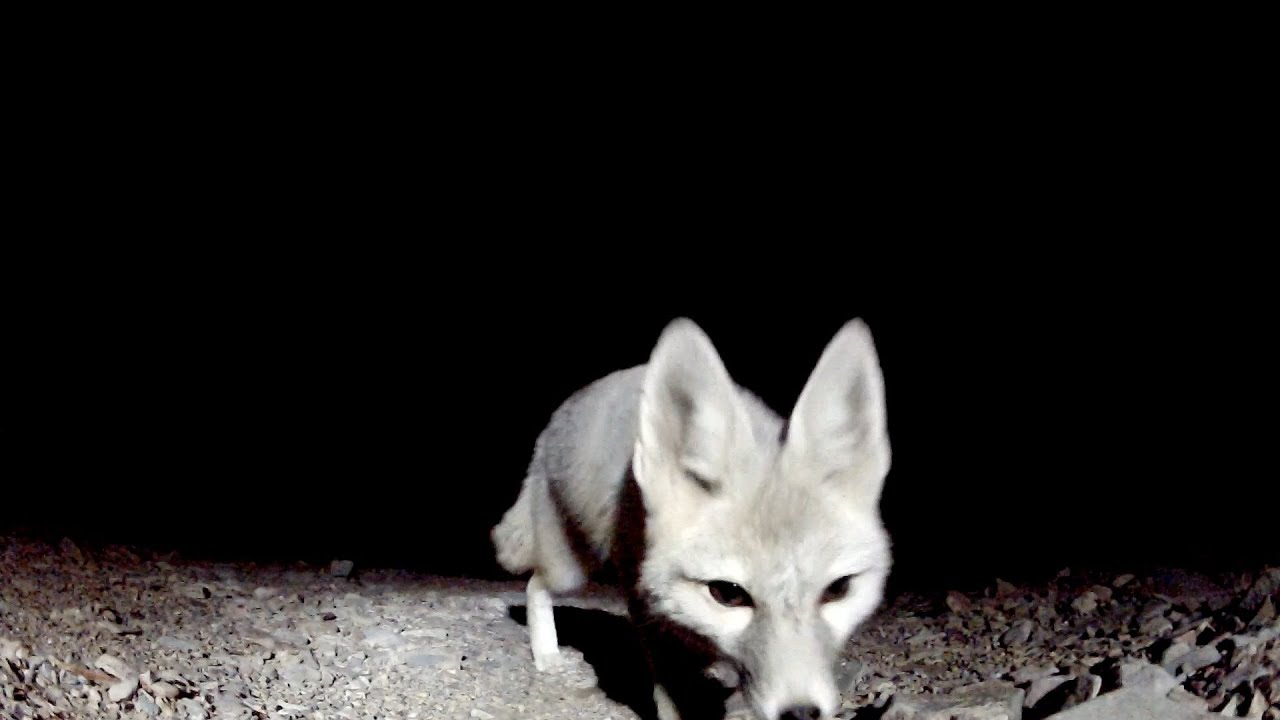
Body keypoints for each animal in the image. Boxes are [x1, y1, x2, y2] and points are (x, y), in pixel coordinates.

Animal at [491, 318, 893, 720]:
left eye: (838, 589)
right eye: (728, 593)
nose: (800, 713)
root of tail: (557, 419)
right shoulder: (647, 608)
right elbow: (671, 691)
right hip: (571, 571)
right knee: (534, 585)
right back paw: (546, 654)